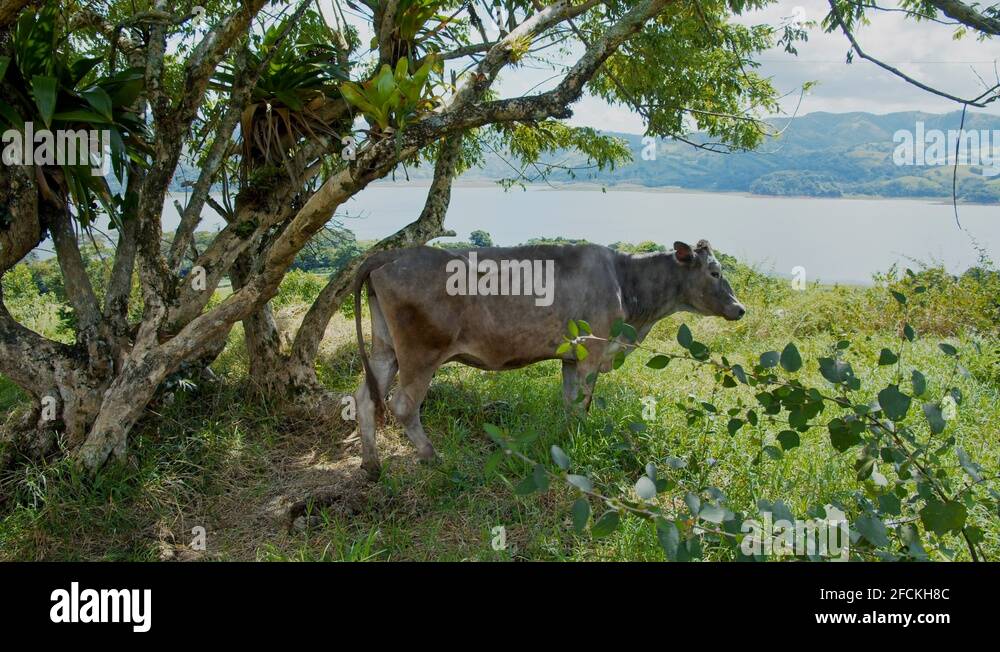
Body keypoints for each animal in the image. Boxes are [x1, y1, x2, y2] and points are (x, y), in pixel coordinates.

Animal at [351, 239, 745, 477]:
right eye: (715, 272)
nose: (740, 308)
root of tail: (393, 253)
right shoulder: (591, 353)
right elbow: (583, 404)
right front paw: (581, 444)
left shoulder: (571, 358)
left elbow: (570, 404)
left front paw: (567, 441)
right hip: (421, 353)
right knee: (403, 405)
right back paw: (434, 457)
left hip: (385, 349)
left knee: (364, 398)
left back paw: (371, 465)